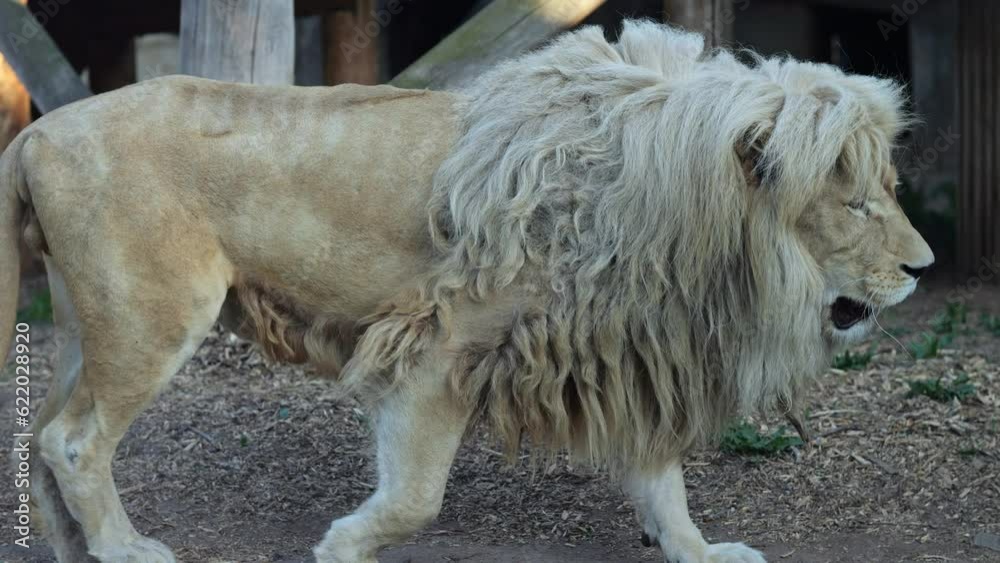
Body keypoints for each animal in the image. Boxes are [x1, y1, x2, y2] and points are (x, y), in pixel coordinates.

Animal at [0, 21, 933, 563]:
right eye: (855, 203)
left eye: (888, 187)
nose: (923, 267)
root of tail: (39, 130)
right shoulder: (436, 345)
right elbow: (415, 496)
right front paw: (344, 545)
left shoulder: (620, 342)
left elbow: (662, 481)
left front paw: (698, 549)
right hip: (152, 315)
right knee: (78, 440)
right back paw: (125, 548)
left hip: (91, 318)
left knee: (43, 431)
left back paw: (67, 545)